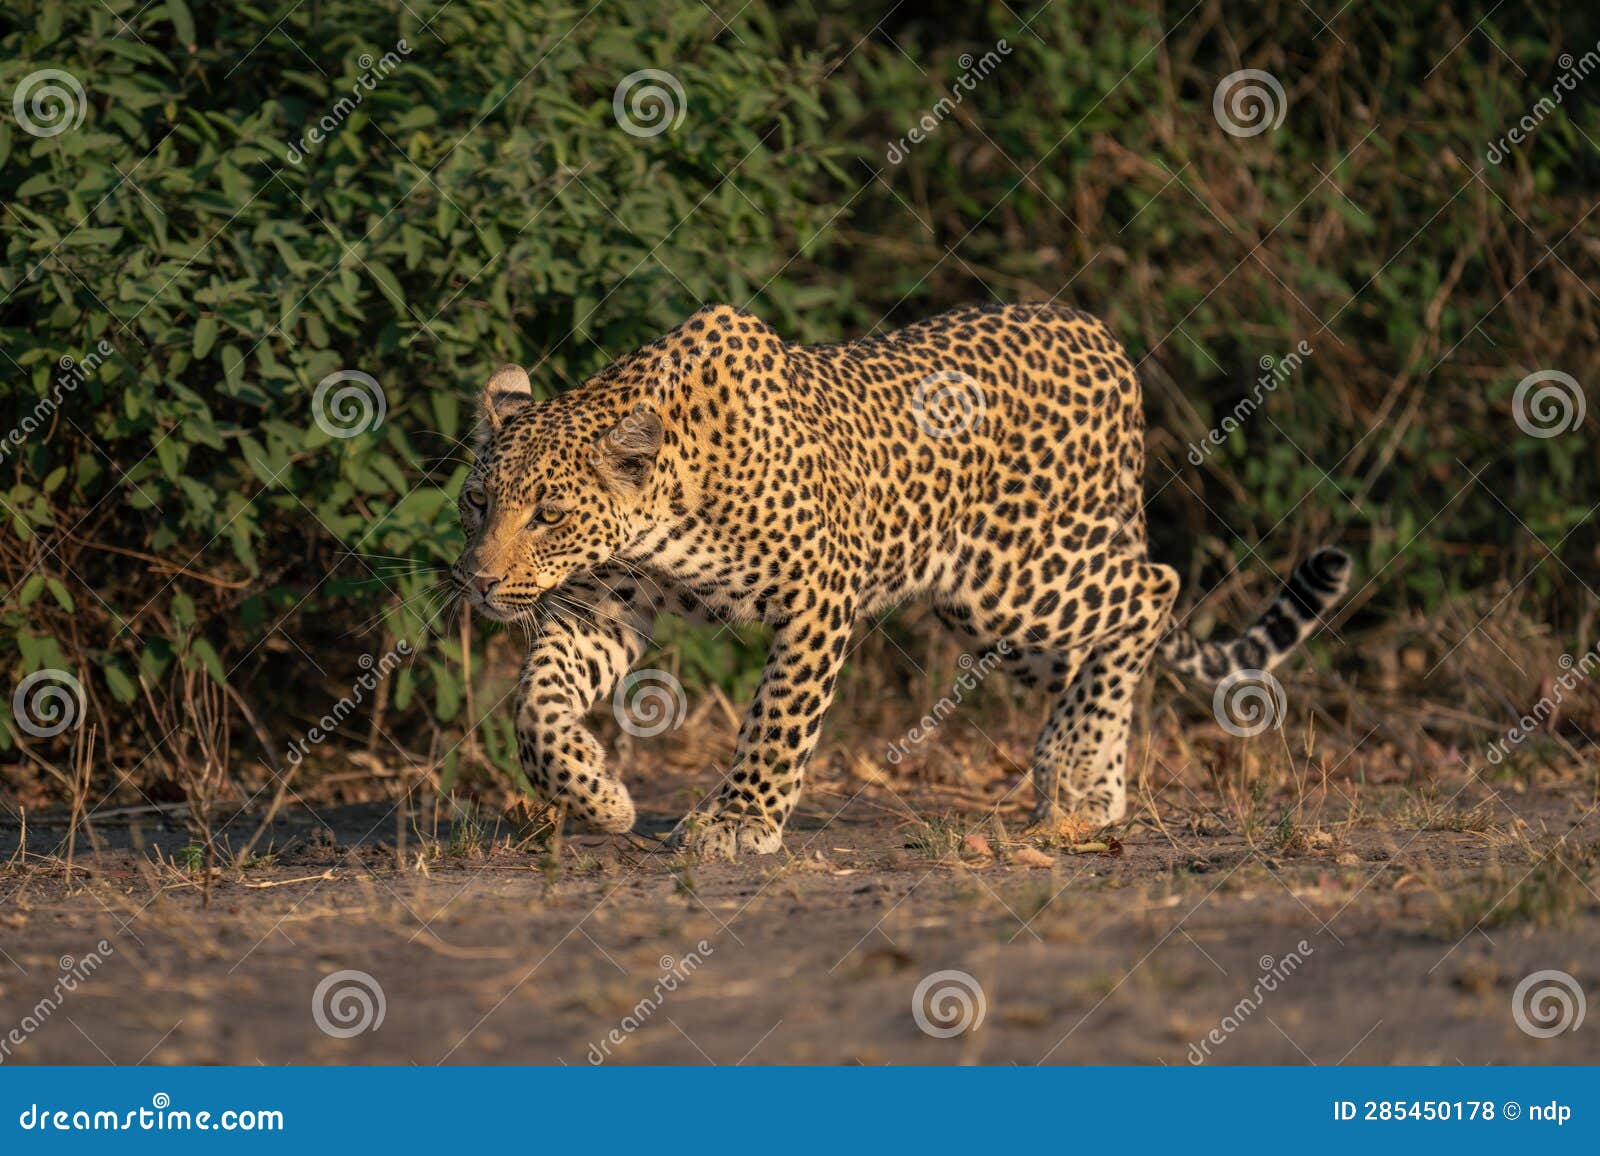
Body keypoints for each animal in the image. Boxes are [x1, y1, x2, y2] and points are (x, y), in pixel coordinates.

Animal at [453, 302, 1350, 860]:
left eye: (549, 514)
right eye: (477, 501)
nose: (480, 584)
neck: (660, 516)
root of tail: (1102, 337)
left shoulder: (819, 593)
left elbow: (778, 718)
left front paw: (740, 822)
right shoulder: (600, 607)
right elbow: (537, 707)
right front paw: (597, 793)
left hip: (1021, 581)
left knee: (1154, 587)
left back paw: (1084, 771)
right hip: (989, 616)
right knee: (1110, 638)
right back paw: (1081, 776)